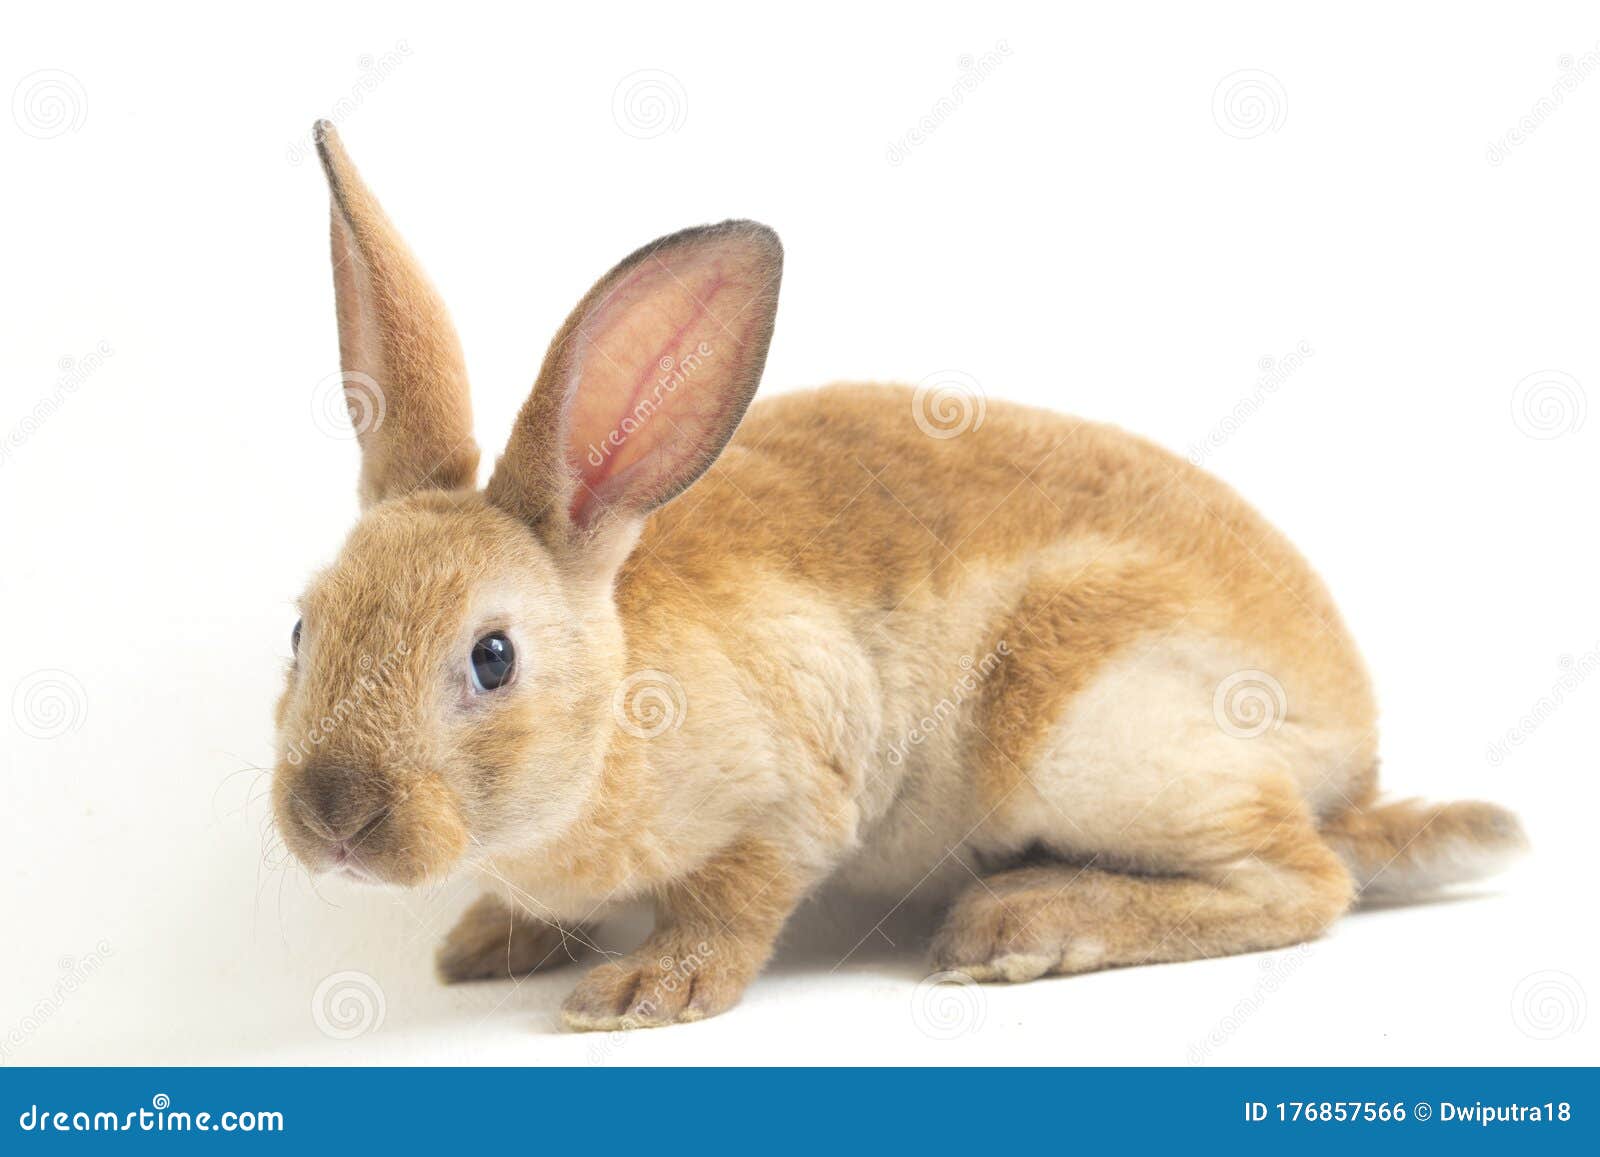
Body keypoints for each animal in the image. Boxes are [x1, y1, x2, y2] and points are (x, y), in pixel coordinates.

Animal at [272, 121, 1528, 1031]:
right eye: (300, 629)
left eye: (491, 657)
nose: (332, 815)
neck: (611, 706)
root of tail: (1351, 763)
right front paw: (486, 943)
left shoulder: (790, 803)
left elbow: (736, 899)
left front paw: (643, 992)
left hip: (1095, 732)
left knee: (1303, 879)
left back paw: (1023, 924)